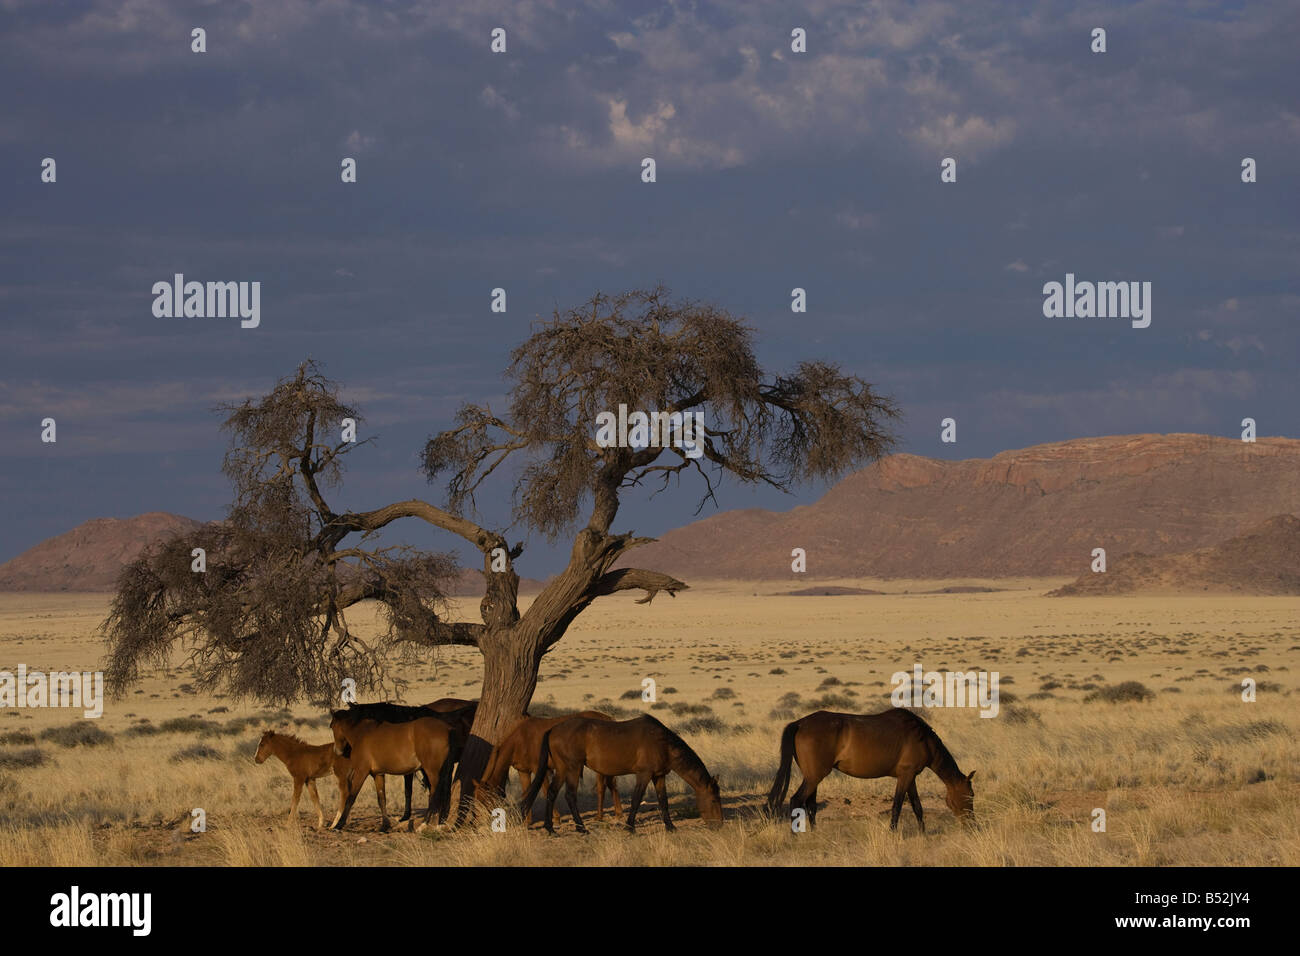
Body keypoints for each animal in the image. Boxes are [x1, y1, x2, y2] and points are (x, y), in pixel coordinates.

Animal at [328, 715, 463, 832]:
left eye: (332, 726)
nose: (337, 751)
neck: (362, 733)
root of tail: (448, 729)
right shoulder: (378, 774)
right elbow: (381, 799)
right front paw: (384, 826)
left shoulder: (361, 772)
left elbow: (351, 797)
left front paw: (339, 825)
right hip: (445, 771)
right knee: (446, 794)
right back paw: (440, 824)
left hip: (432, 772)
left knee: (435, 794)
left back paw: (424, 825)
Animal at [476, 711, 623, 825]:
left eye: (486, 799)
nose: (485, 820)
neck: (520, 739)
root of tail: (607, 718)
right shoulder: (523, 771)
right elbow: (527, 791)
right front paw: (527, 821)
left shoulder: (540, 769)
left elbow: (546, 790)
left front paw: (556, 818)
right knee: (610, 785)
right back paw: (616, 813)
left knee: (602, 787)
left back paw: (603, 815)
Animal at [520, 714, 723, 834]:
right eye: (714, 800)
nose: (719, 824)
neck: (662, 743)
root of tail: (553, 729)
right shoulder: (644, 775)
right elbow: (636, 799)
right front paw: (630, 827)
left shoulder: (659, 776)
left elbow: (663, 801)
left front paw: (670, 826)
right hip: (573, 768)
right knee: (570, 795)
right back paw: (581, 828)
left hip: (562, 769)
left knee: (552, 793)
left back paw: (550, 828)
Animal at [766, 709, 976, 832]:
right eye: (970, 795)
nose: (972, 825)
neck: (922, 738)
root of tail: (800, 723)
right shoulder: (905, 777)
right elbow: (897, 806)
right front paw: (893, 833)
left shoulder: (910, 778)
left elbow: (917, 807)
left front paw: (923, 833)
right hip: (814, 777)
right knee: (796, 800)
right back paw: (795, 835)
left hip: (812, 777)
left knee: (810, 805)